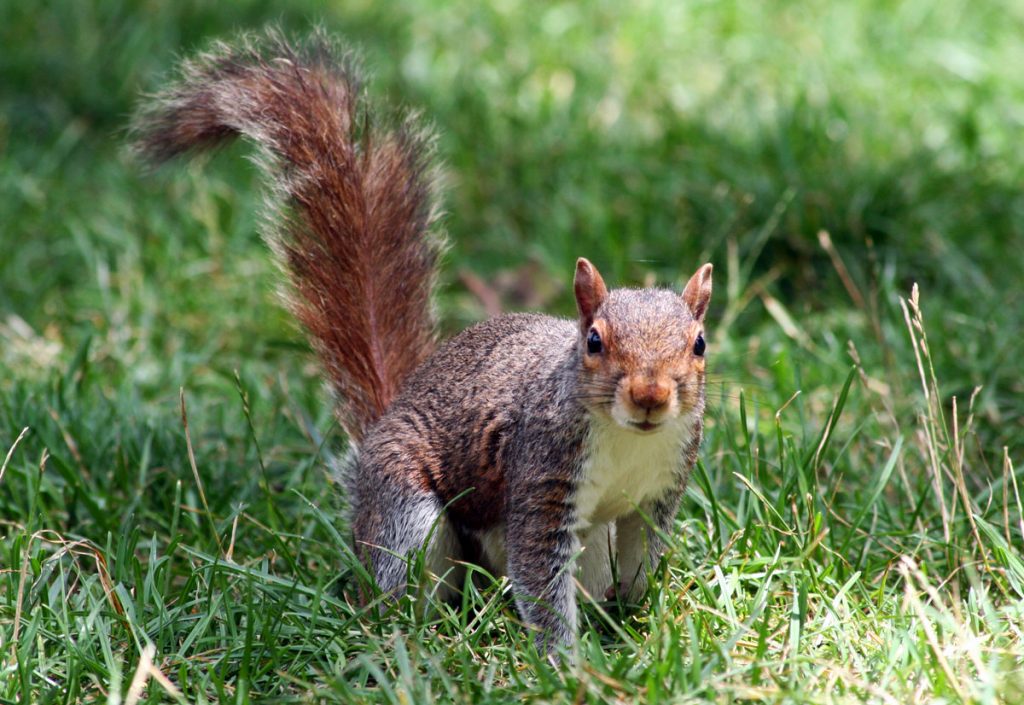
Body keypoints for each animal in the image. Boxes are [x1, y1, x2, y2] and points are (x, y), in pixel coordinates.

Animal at [132, 29, 712, 656]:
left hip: (591, 537)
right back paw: (421, 635)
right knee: (404, 586)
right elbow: (540, 577)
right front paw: (566, 661)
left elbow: (640, 559)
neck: (628, 440)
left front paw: (634, 621)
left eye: (699, 344)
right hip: (407, 515)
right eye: (595, 342)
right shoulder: (542, 474)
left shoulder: (656, 495)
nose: (650, 397)